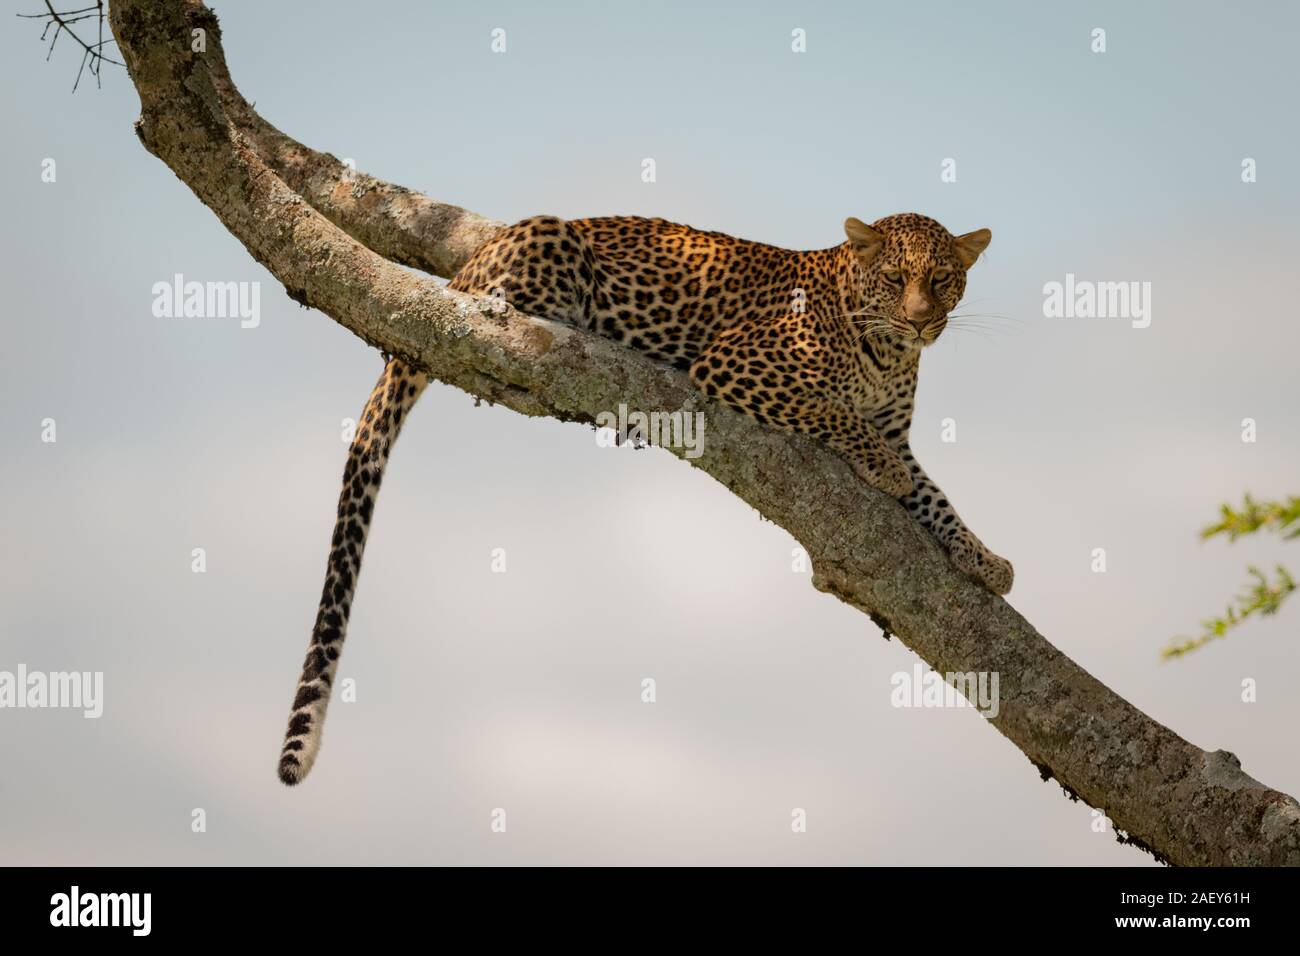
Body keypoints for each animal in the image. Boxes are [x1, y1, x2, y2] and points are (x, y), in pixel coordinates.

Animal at [276, 212, 1012, 785]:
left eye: (941, 279)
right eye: (895, 279)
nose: (921, 321)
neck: (889, 353)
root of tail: (466, 266)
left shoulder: (899, 431)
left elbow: (937, 498)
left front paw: (985, 561)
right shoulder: (737, 364)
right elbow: (837, 415)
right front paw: (883, 473)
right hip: (548, 247)